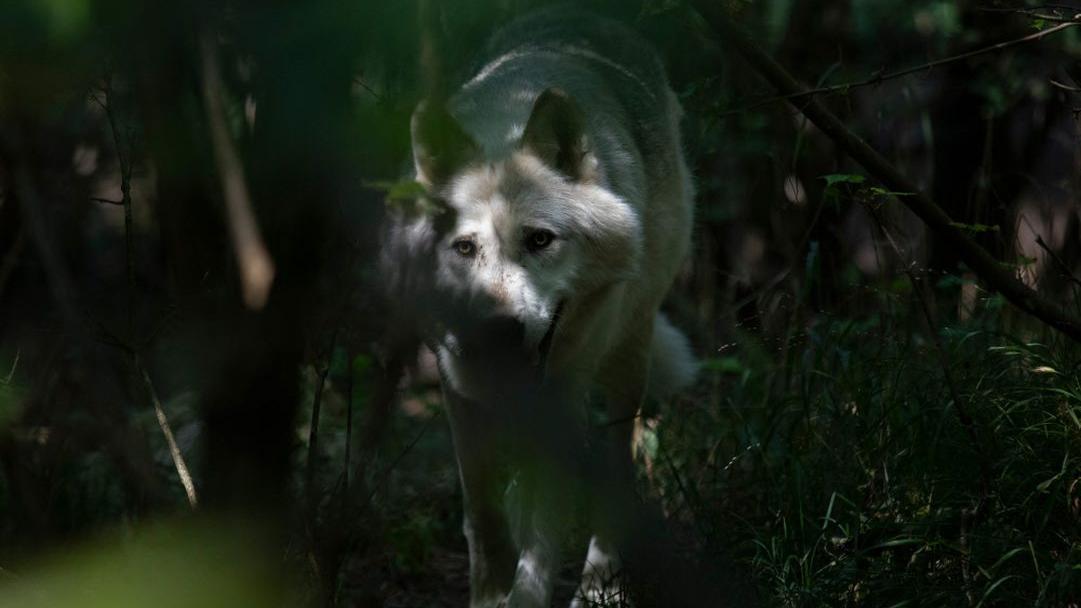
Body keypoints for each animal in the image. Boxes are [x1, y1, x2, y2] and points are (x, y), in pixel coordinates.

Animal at [383, 6, 696, 607]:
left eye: (540, 240)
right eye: (465, 247)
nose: (499, 329)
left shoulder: (562, 396)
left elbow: (541, 530)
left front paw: (525, 593)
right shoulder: (459, 391)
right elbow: (483, 514)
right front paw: (488, 595)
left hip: (628, 354)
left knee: (617, 470)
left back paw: (601, 586)